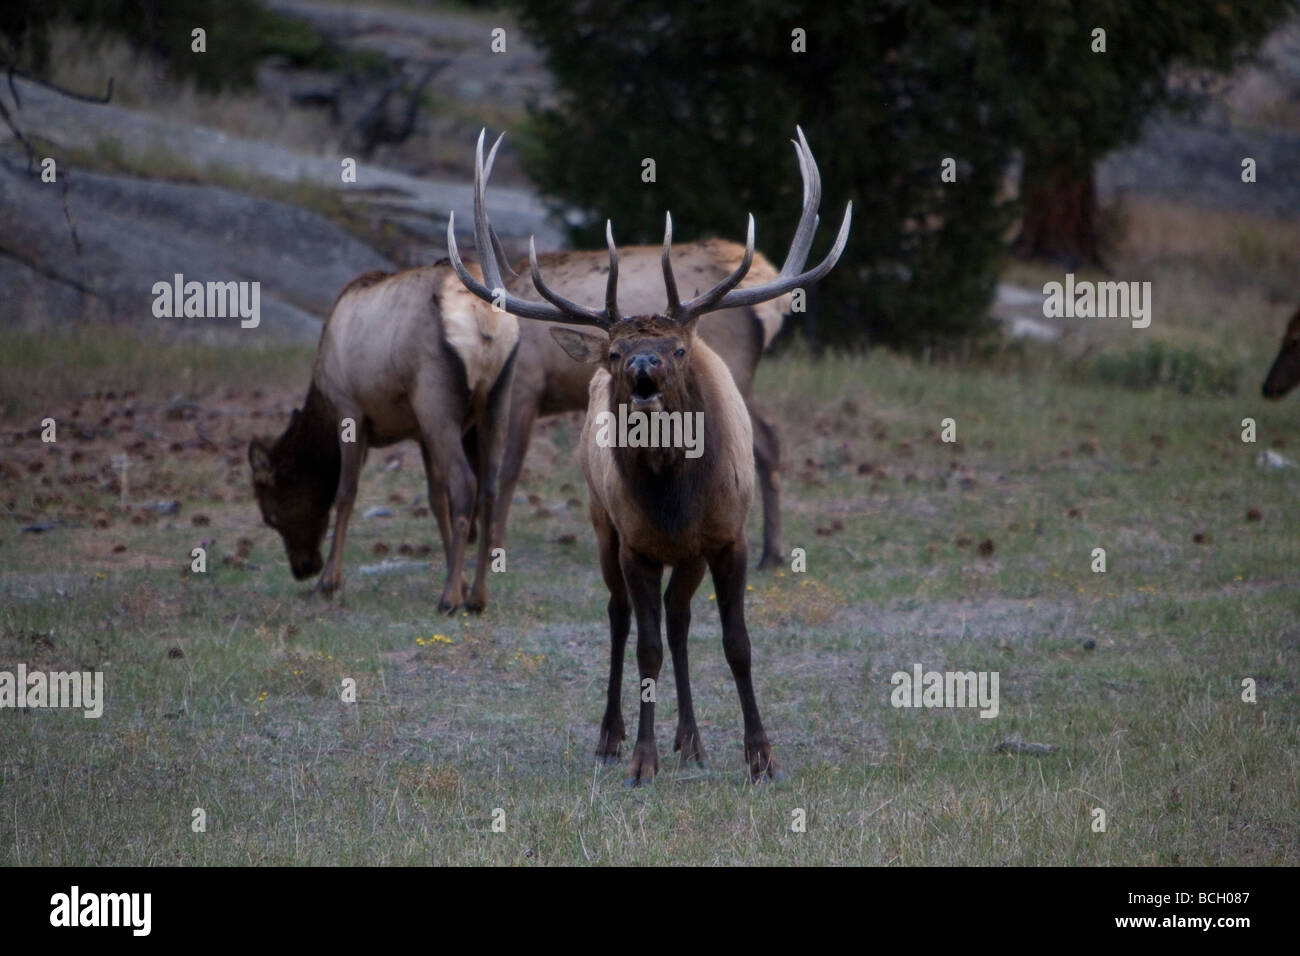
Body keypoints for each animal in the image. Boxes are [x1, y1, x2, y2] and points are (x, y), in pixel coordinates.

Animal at [248, 255, 519, 614]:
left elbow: (345, 493)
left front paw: (328, 583)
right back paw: (476, 597)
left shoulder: (350, 408)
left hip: (434, 397)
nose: (303, 569)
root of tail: (482, 316)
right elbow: (436, 501)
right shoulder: (420, 433)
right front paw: (458, 579)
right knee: (488, 487)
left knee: (465, 483)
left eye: (269, 516)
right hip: (496, 399)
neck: (322, 399)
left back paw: (448, 599)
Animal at [447, 128, 851, 783]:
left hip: (686, 555)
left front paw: (760, 755)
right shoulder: (634, 543)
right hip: (603, 524)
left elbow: (736, 643)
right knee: (623, 617)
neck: (673, 499)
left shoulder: (726, 535)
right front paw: (642, 758)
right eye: (613, 352)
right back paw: (611, 737)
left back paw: (692, 739)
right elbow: (646, 648)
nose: (642, 373)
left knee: (680, 618)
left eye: (679, 348)